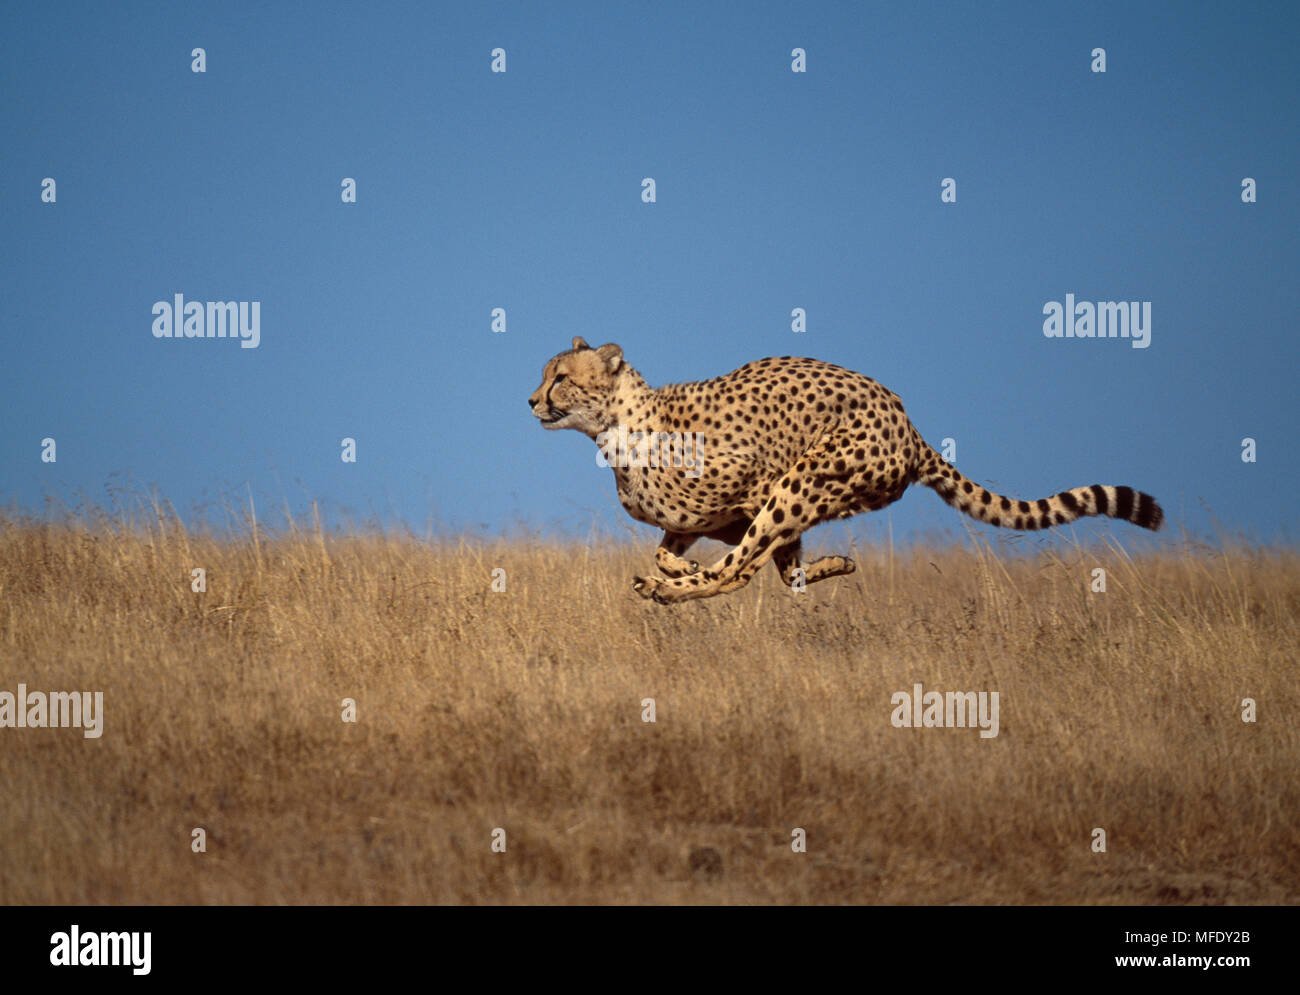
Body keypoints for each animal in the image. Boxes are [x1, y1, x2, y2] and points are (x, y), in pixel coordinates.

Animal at [528, 337, 1163, 604]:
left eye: (560, 378)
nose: (531, 400)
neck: (619, 425)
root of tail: (907, 422)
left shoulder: (762, 484)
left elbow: (742, 557)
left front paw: (675, 576)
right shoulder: (705, 520)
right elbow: (677, 545)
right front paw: (677, 566)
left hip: (811, 474)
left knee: (740, 571)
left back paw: (664, 592)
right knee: (776, 571)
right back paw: (834, 564)